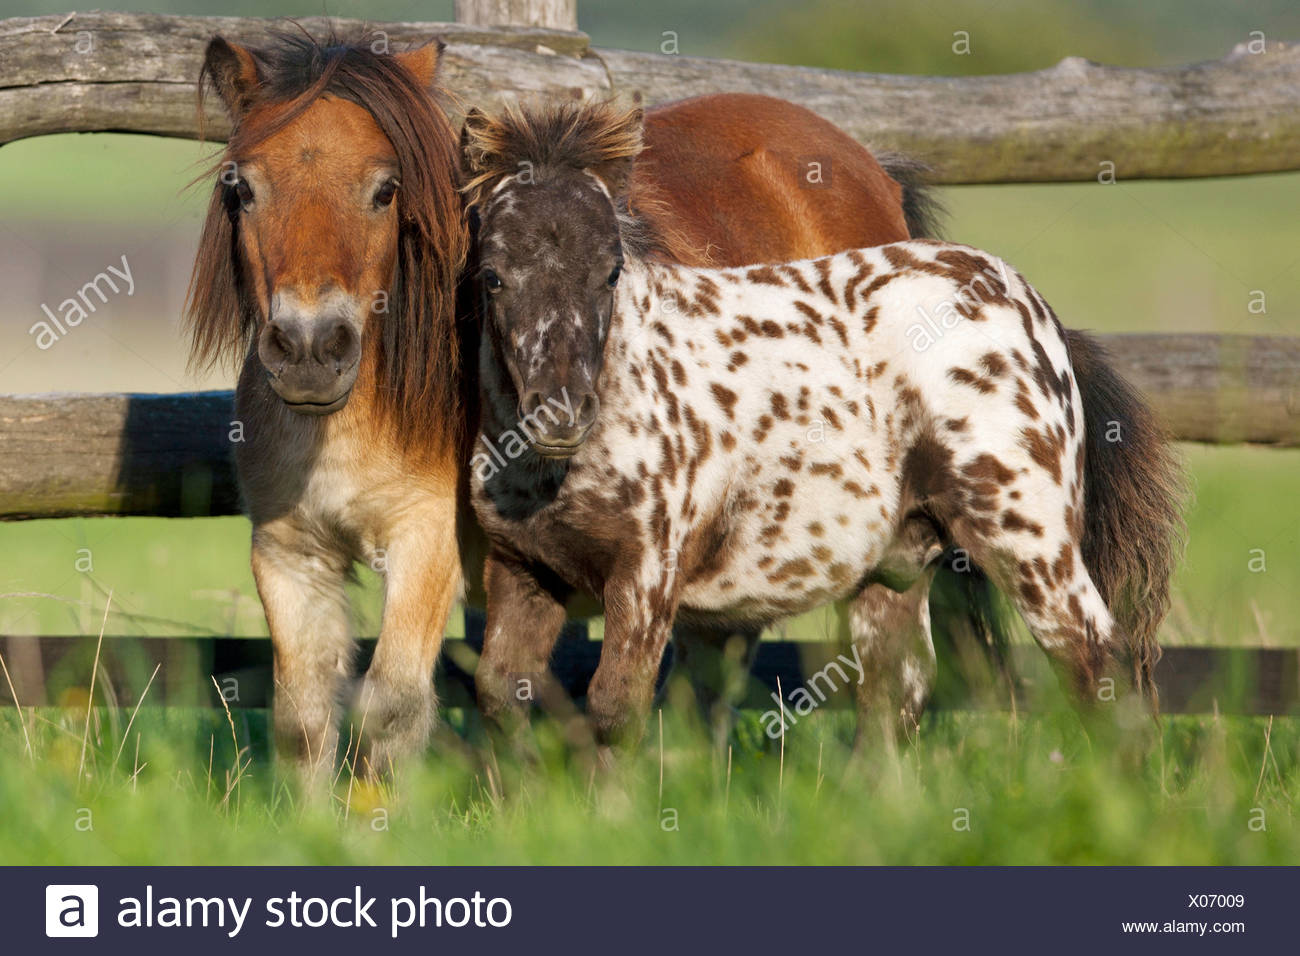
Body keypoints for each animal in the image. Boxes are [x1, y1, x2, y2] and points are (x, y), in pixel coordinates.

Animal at [184, 30, 959, 776]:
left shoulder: (426, 547)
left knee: (894, 675)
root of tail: (869, 169)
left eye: (385, 190)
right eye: (241, 188)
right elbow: (303, 725)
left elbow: (392, 712)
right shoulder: (289, 557)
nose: (311, 348)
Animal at [461, 102, 1186, 749]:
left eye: (611, 271)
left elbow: (615, 709)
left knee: (1095, 660)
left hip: (1029, 539)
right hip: (898, 565)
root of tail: (1027, 304)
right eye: (492, 276)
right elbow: (501, 694)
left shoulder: (646, 577)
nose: (560, 411)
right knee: (897, 689)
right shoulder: (522, 569)